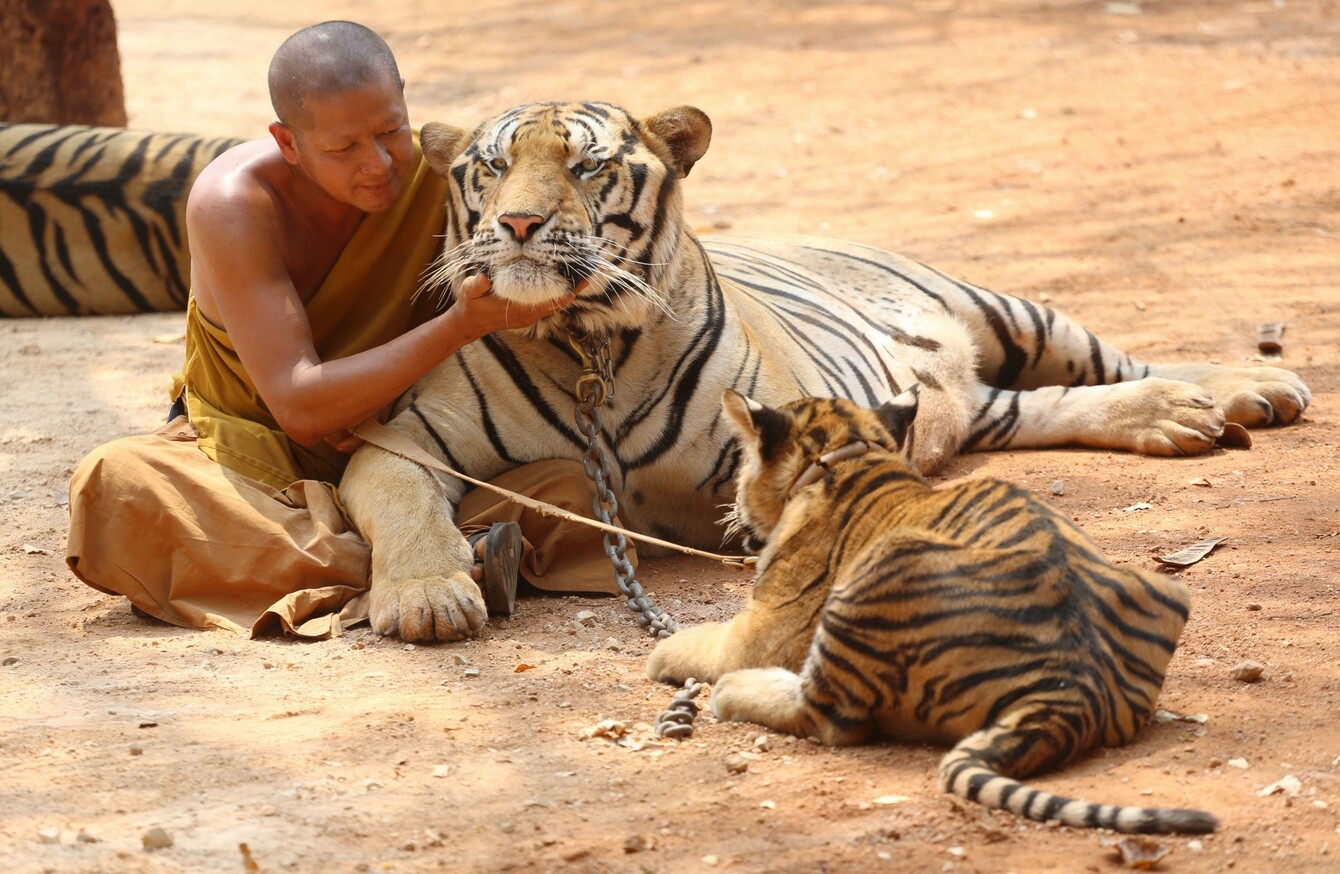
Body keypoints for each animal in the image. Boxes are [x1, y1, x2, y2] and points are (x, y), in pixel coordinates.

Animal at [336, 100, 1311, 644]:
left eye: (587, 164)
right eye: (493, 167)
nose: (520, 226)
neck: (589, 342)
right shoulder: (403, 440)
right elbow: (407, 508)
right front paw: (427, 597)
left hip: (1005, 309)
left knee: (1118, 357)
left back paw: (1237, 390)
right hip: (986, 400)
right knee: (1054, 404)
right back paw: (1175, 416)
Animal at [646, 389, 1219, 835]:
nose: (735, 512)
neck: (850, 451)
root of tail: (1070, 695)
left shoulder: (761, 631)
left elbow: (702, 641)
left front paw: (662, 652)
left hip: (884, 566)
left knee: (830, 717)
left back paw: (733, 691)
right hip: (1162, 586)